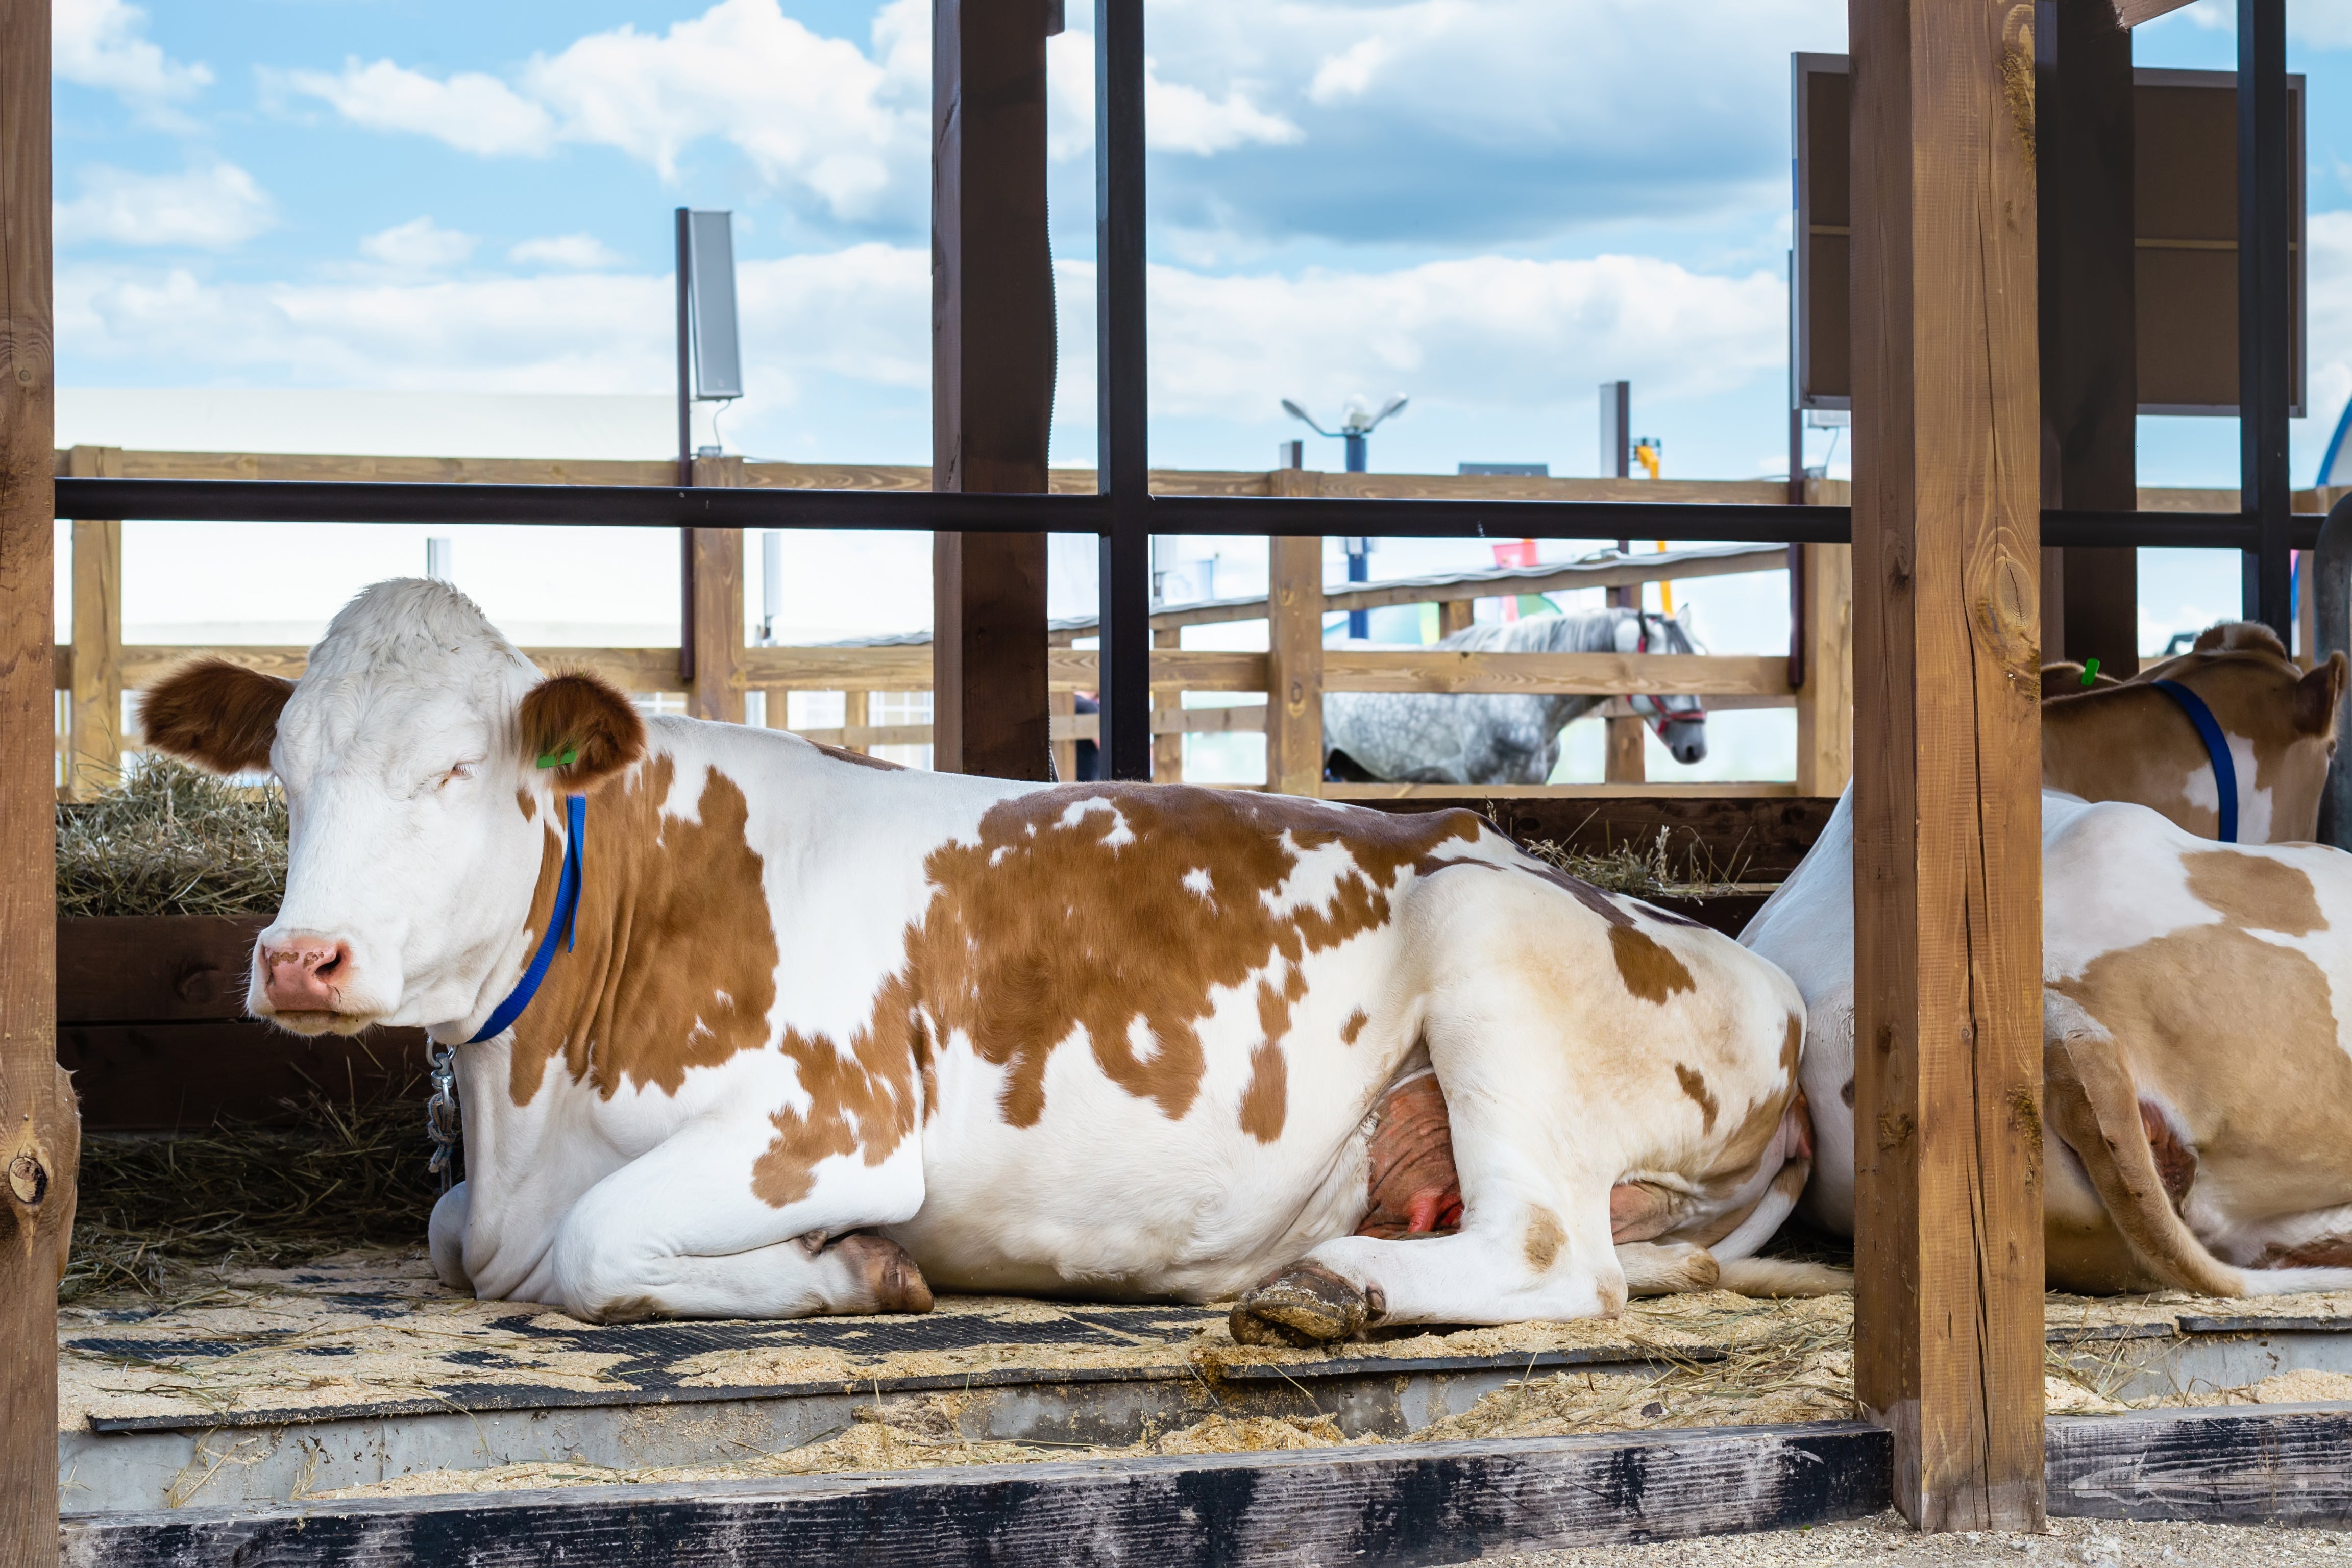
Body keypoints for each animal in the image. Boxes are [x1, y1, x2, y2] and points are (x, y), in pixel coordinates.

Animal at [137, 579, 1834, 1337]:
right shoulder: (478, 1199)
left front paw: (855, 1270)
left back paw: (1326, 1278)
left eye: (455, 774)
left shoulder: (828, 1126)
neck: (526, 1098)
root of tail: (1762, 979)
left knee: (1553, 1260)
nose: (301, 959)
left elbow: (596, 1251)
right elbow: (453, 1235)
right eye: (283, 769)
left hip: (1487, 946)